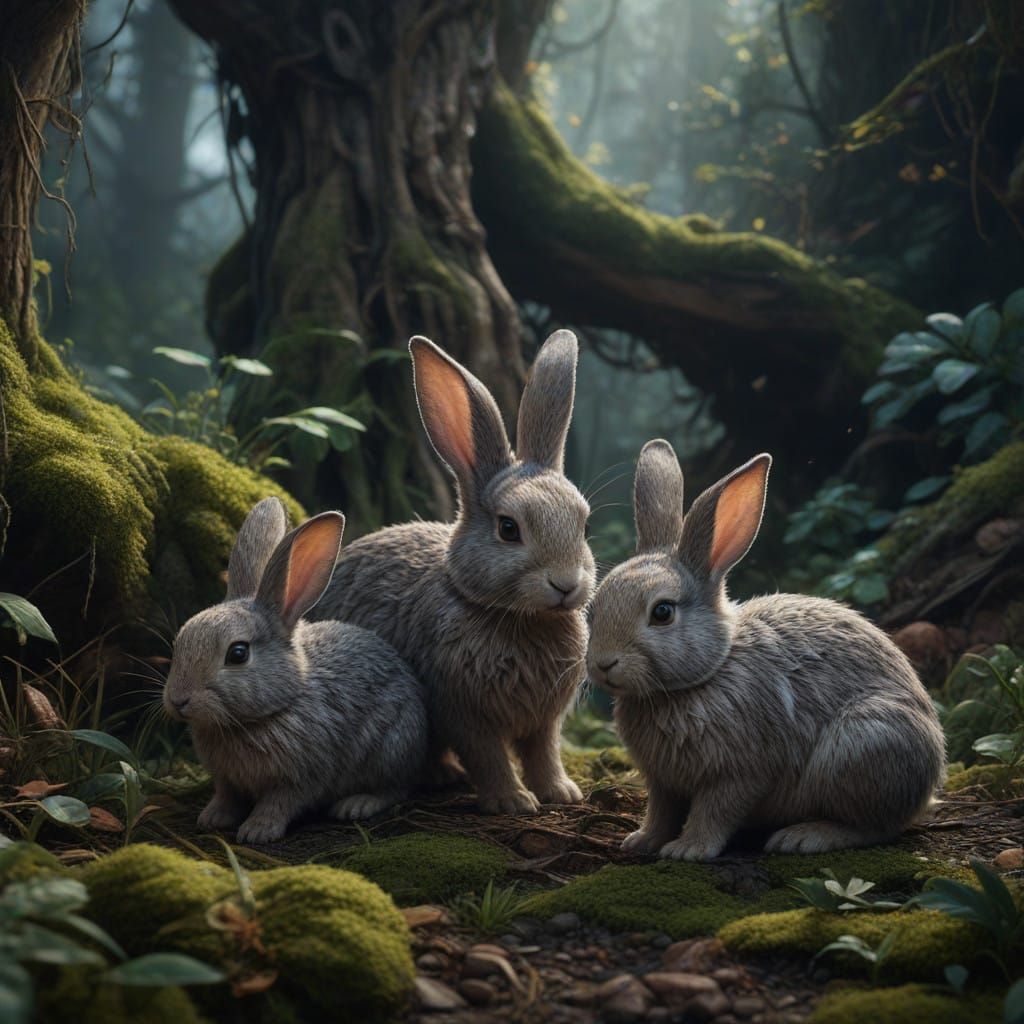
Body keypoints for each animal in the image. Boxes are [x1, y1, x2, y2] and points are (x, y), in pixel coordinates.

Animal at [163, 497, 428, 844]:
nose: (177, 700)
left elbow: (280, 802)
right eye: (179, 642)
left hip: (393, 746)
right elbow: (227, 795)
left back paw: (356, 805)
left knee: (398, 786)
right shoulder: (226, 778)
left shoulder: (303, 776)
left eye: (238, 654)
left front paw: (257, 831)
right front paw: (212, 818)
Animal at [308, 330, 595, 815]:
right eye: (508, 529)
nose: (566, 584)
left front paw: (560, 792)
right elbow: (489, 755)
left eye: (584, 524)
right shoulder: (463, 711)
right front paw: (512, 801)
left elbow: (543, 752)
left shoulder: (544, 721)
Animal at [586, 439, 946, 860]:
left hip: (864, 743)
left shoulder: (741, 771)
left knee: (876, 826)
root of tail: (931, 772)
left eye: (662, 612)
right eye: (593, 608)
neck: (704, 676)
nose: (603, 663)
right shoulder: (662, 782)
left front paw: (689, 849)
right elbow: (661, 812)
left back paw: (804, 837)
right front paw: (641, 841)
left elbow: (716, 811)